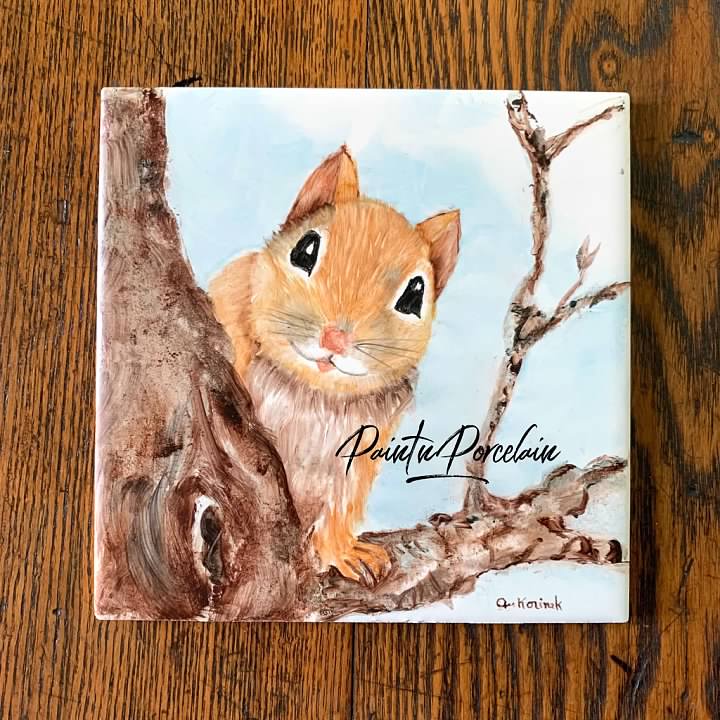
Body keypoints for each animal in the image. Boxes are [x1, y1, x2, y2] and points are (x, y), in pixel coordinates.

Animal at [209, 146, 461, 584]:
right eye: (304, 250)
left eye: (414, 296)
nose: (335, 339)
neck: (311, 388)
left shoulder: (360, 453)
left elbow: (340, 509)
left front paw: (344, 552)